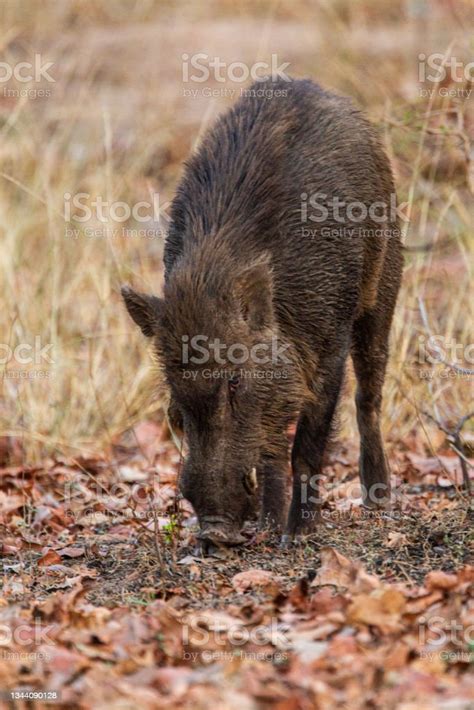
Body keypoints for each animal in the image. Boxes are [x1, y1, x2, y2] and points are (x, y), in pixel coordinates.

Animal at [122, 77, 403, 546]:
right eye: (174, 385)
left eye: (235, 380)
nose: (214, 531)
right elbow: (271, 447)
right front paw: (273, 531)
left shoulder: (330, 339)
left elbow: (307, 444)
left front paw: (298, 536)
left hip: (385, 287)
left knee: (369, 394)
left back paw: (376, 500)